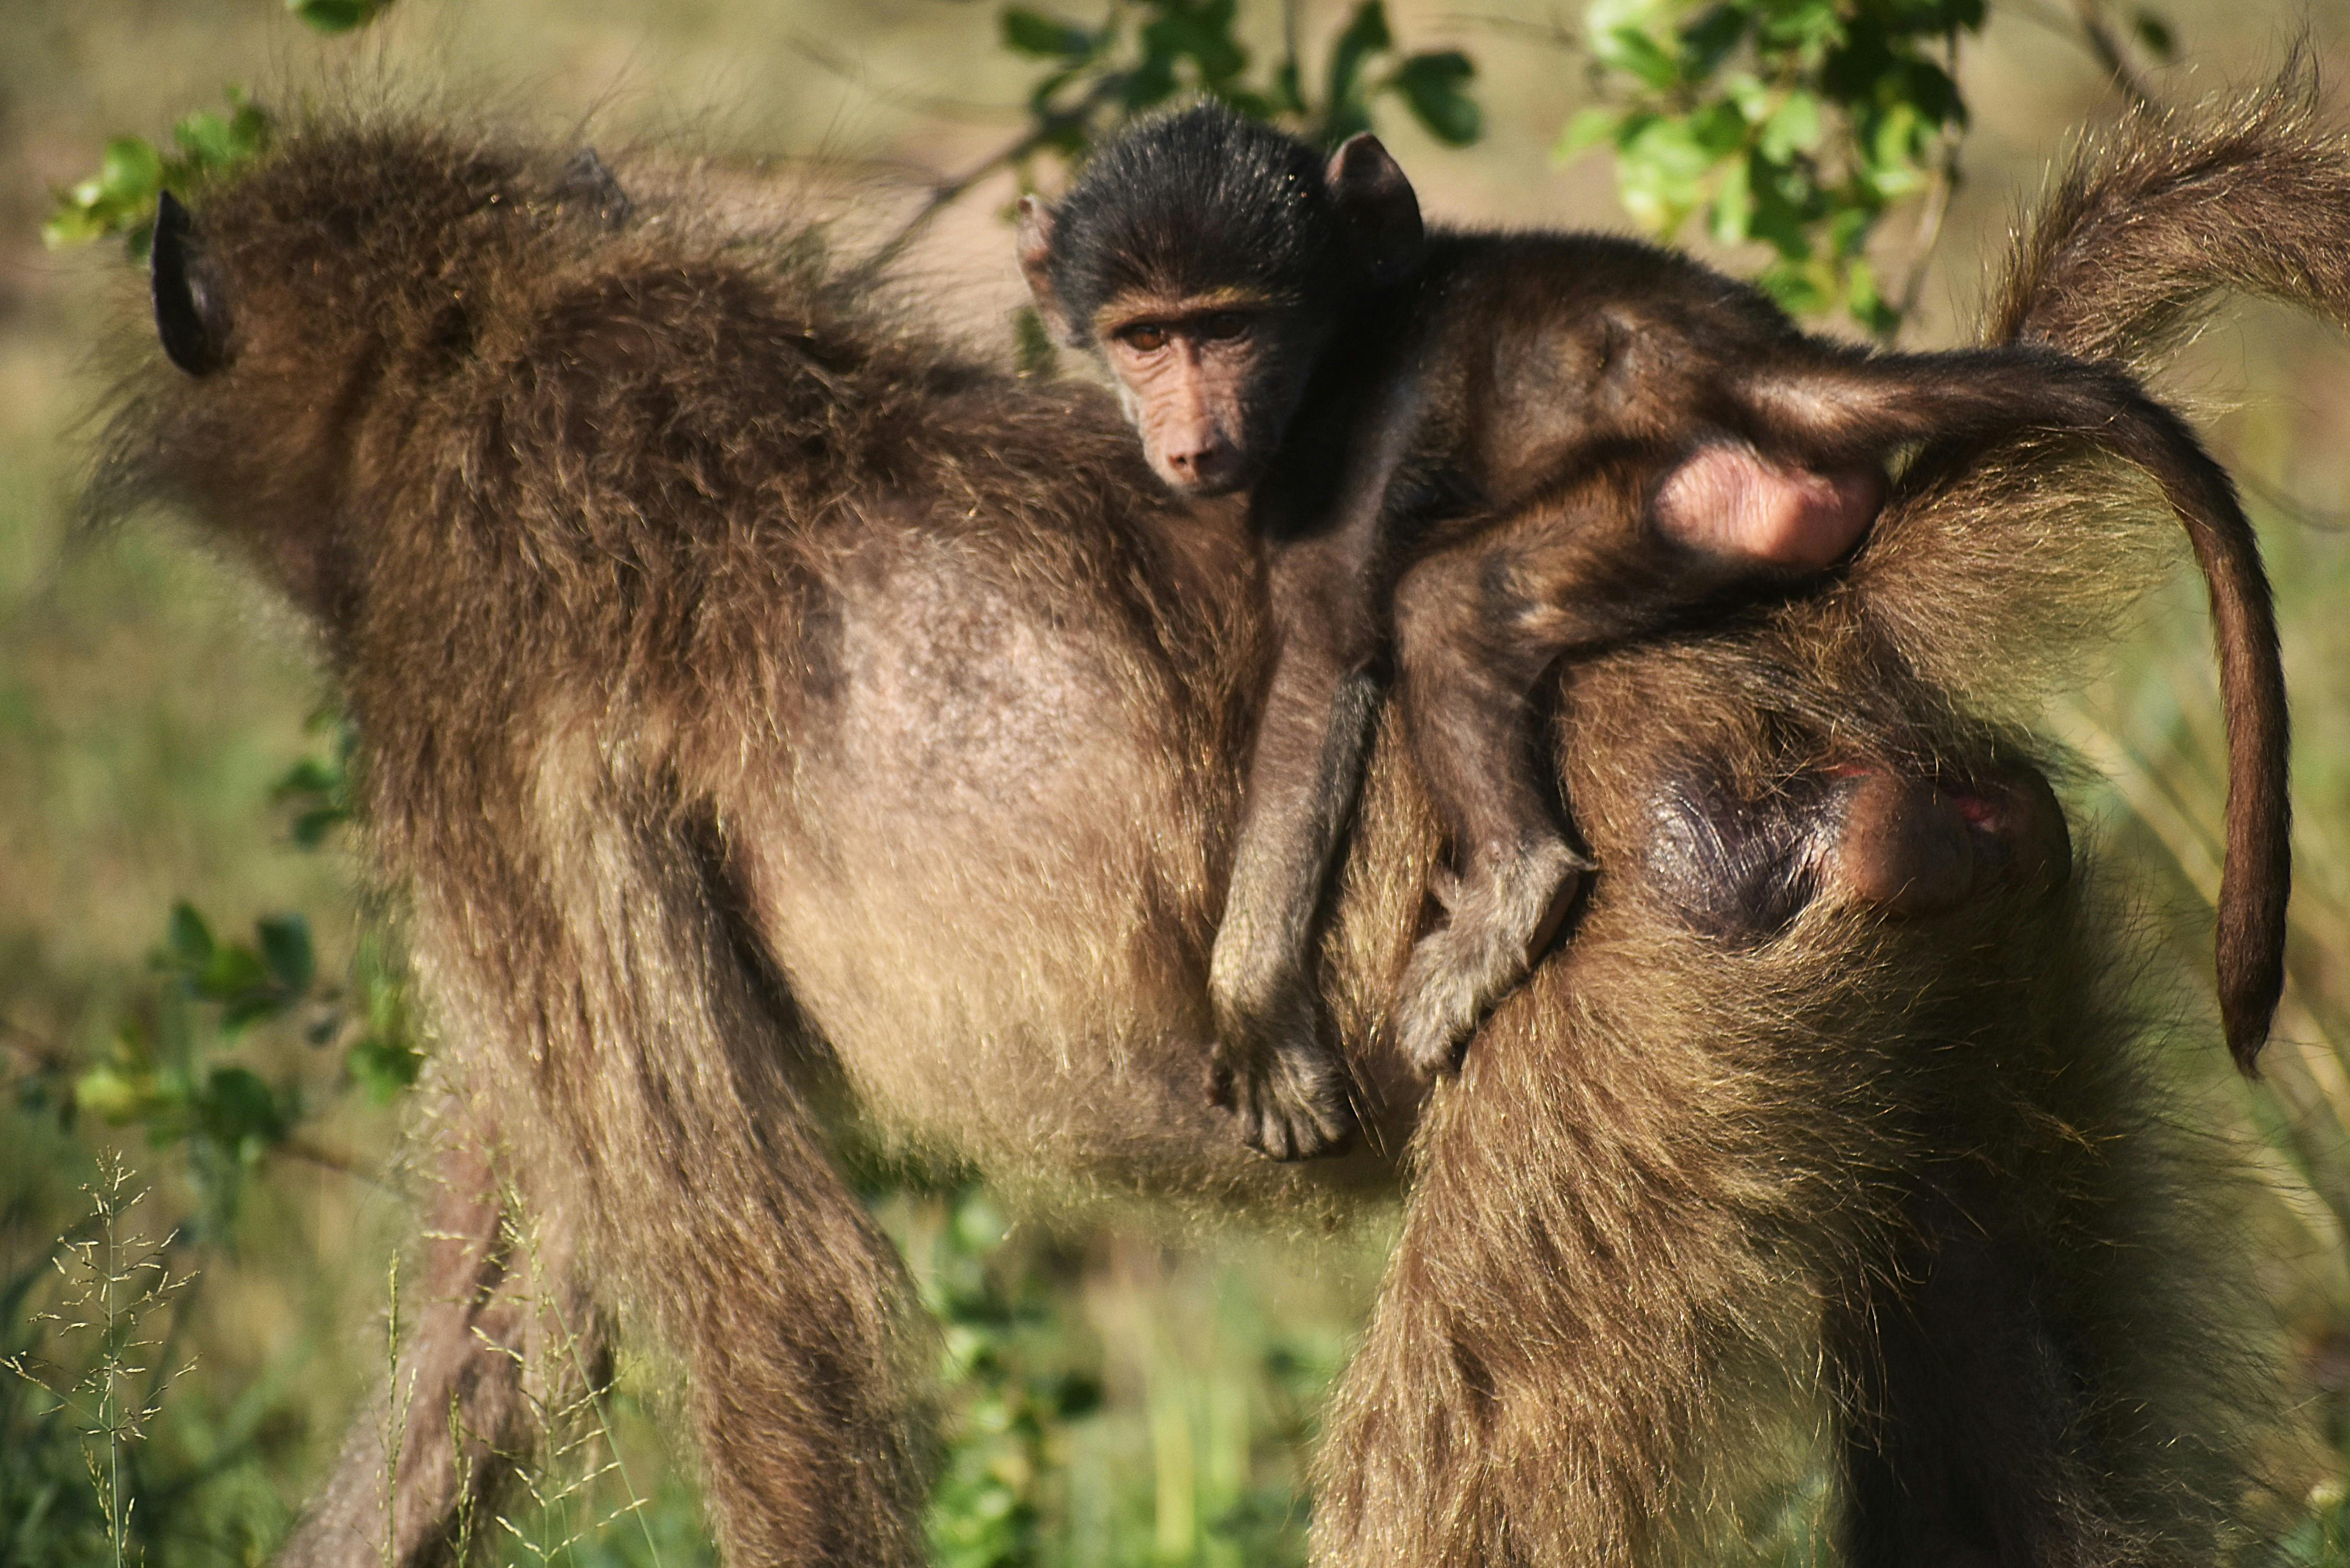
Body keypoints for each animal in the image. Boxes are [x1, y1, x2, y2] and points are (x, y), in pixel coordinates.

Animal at [1016, 103, 2290, 1161]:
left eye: (1227, 328)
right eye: (1144, 338)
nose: (1192, 444)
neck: (1342, 341)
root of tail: (1753, 358)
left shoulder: (1341, 467)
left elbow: (1321, 678)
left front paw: (1255, 1020)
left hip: (1673, 491)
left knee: (1447, 602)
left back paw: (1512, 891)